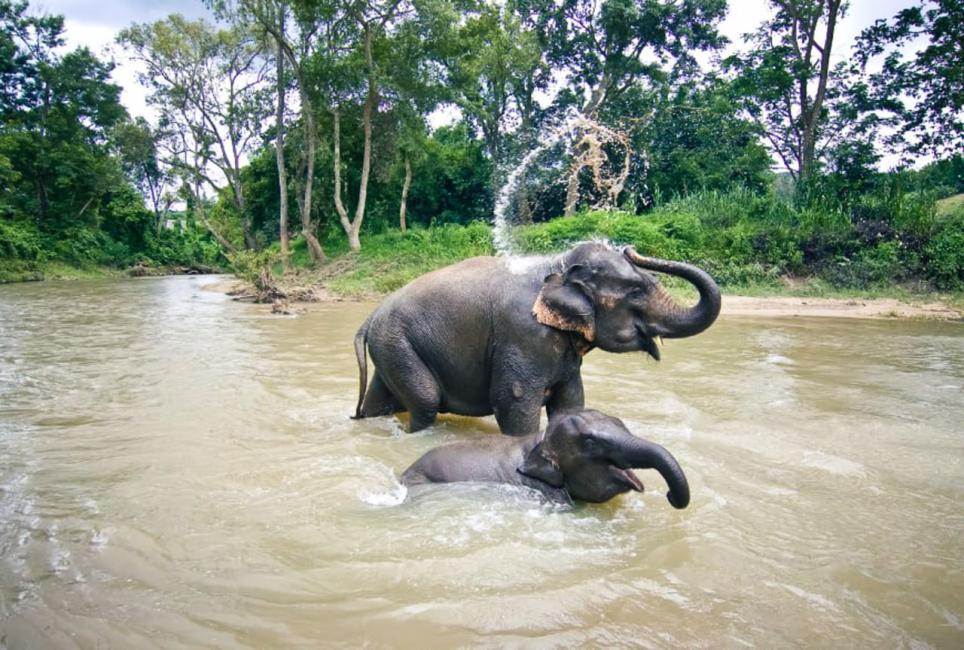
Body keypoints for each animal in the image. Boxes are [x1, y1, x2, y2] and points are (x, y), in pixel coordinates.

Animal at [353, 242, 721, 434]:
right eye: (635, 292)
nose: (630, 248)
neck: (556, 264)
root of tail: (369, 318)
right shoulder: (523, 334)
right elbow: (513, 401)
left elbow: (571, 402)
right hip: (399, 344)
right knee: (426, 400)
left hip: (392, 347)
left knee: (383, 400)